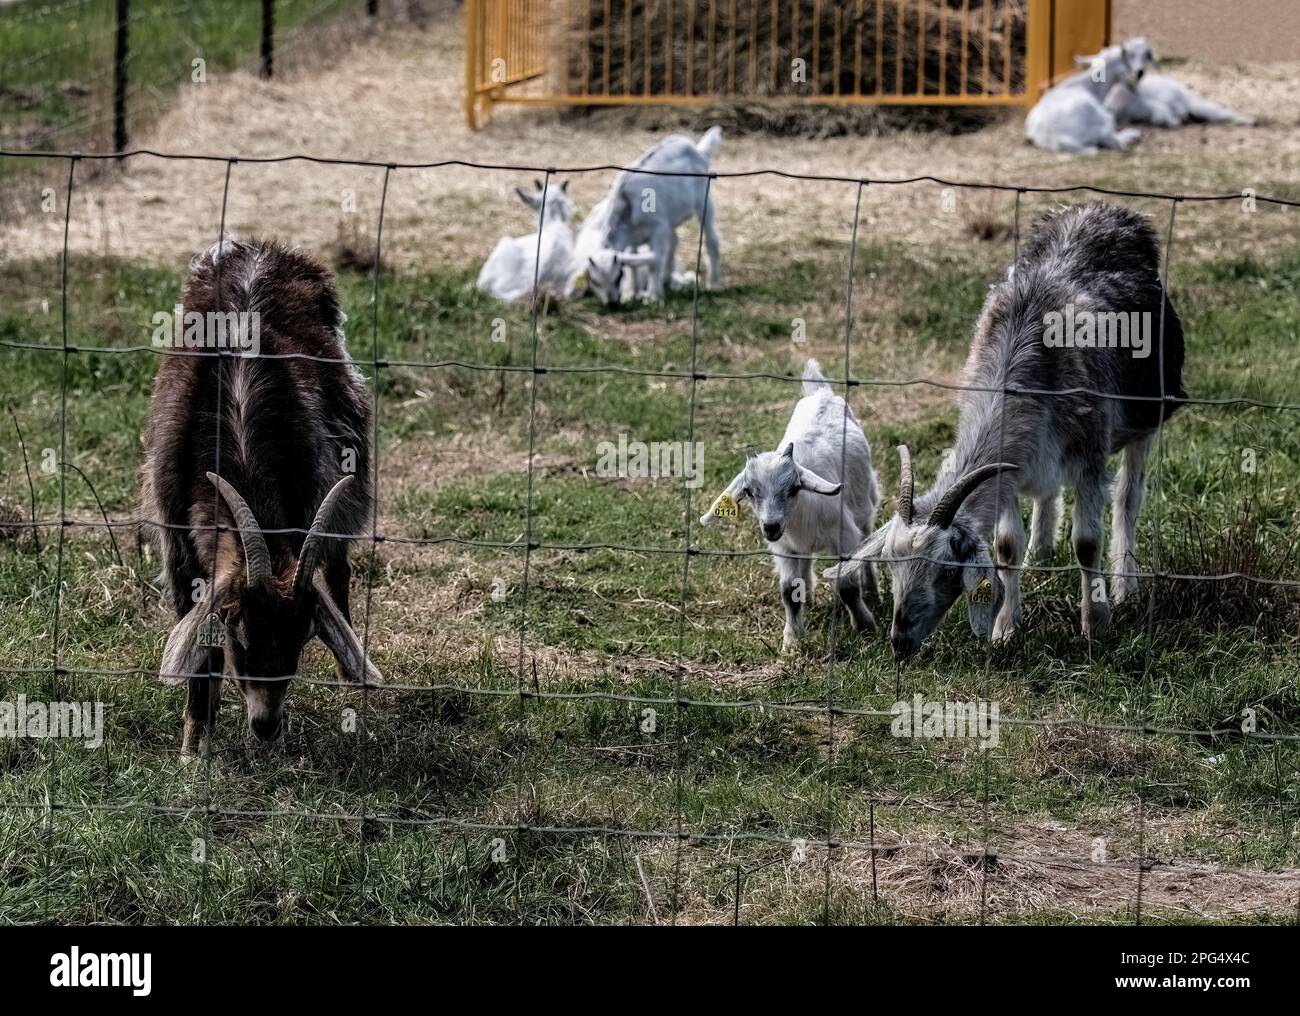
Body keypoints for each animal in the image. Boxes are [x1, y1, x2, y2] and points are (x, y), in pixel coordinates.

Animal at [141, 239, 382, 753]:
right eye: (241, 634)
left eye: (303, 638)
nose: (266, 726)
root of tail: (260, 248)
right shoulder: (175, 539)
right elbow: (199, 637)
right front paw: (196, 739)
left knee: (340, 568)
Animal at [585, 126, 723, 306]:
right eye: (594, 281)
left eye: (618, 277)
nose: (611, 304)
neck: (626, 205)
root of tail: (697, 150)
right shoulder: (633, 239)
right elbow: (634, 264)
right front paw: (632, 293)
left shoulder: (658, 229)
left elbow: (654, 261)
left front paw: (653, 296)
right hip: (671, 216)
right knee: (674, 241)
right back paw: (668, 280)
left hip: (703, 200)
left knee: (711, 238)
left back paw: (714, 284)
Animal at [701, 360, 879, 649]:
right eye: (749, 491)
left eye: (794, 488)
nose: (771, 526)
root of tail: (820, 392)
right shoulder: (784, 546)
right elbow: (788, 590)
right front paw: (792, 640)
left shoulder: (843, 534)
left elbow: (847, 585)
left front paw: (865, 626)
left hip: (865, 502)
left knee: (868, 539)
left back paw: (872, 590)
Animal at [830, 203, 1185, 660]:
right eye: (890, 562)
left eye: (945, 570)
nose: (900, 641)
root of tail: (1103, 211)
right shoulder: (1010, 472)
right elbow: (1005, 547)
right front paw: (1005, 628)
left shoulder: (1089, 456)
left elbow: (1087, 543)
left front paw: (1096, 624)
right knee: (1048, 494)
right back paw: (1040, 556)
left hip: (1146, 417)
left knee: (1128, 498)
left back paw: (1126, 587)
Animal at [1025, 38, 1154, 154]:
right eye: (1126, 58)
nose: (1139, 73)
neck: (1090, 87)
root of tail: (1058, 139)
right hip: (1102, 120)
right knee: (1112, 141)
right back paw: (1131, 135)